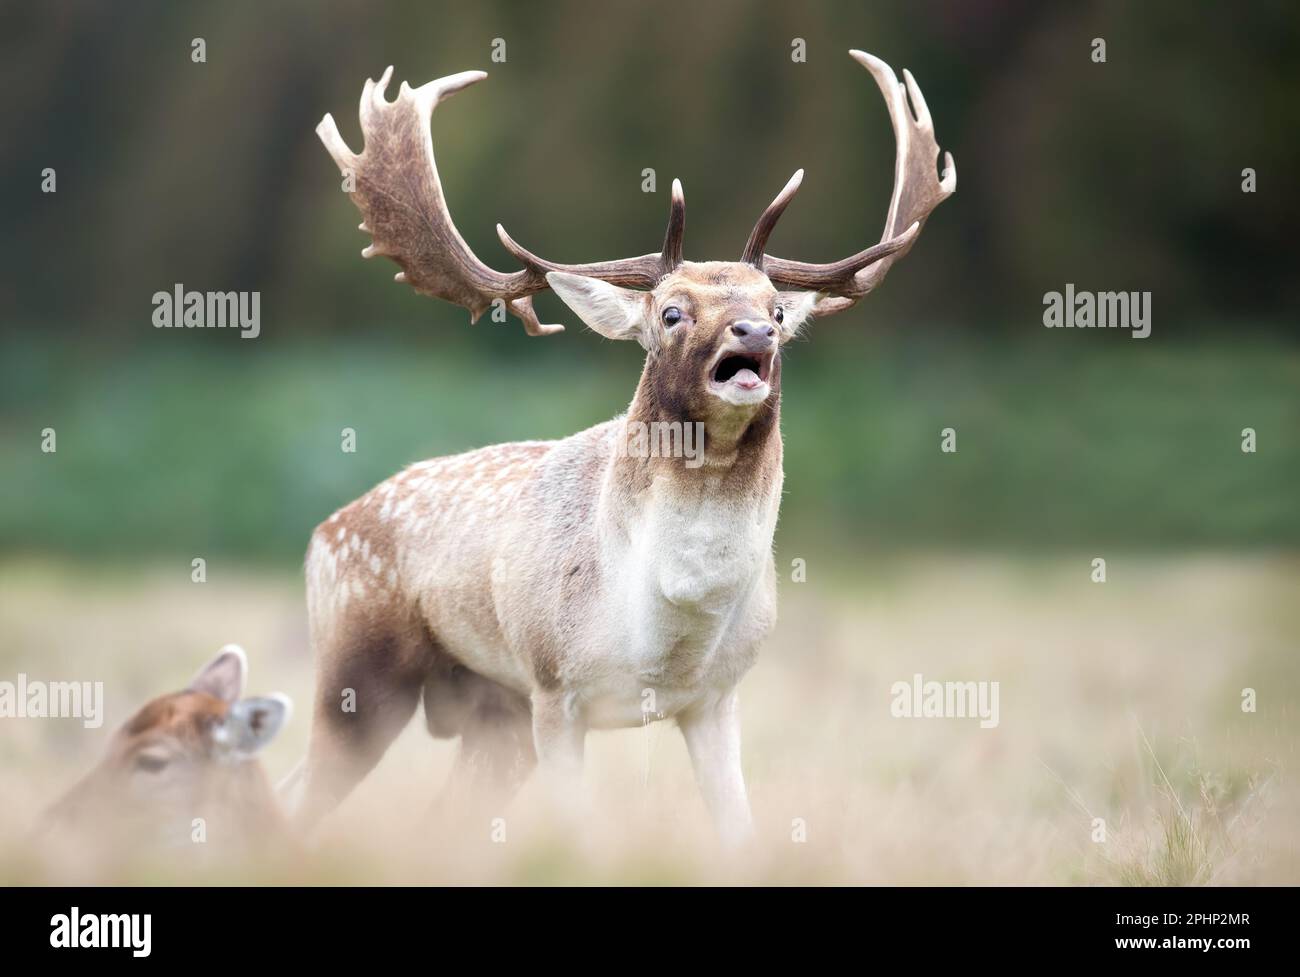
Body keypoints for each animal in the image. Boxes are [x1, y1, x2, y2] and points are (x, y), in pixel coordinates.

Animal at [298, 50, 954, 844]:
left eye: (774, 309)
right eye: (671, 311)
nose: (753, 333)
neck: (662, 634)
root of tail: (321, 533)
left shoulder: (718, 695)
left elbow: (739, 833)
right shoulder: (553, 685)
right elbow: (579, 836)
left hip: (491, 708)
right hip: (358, 665)